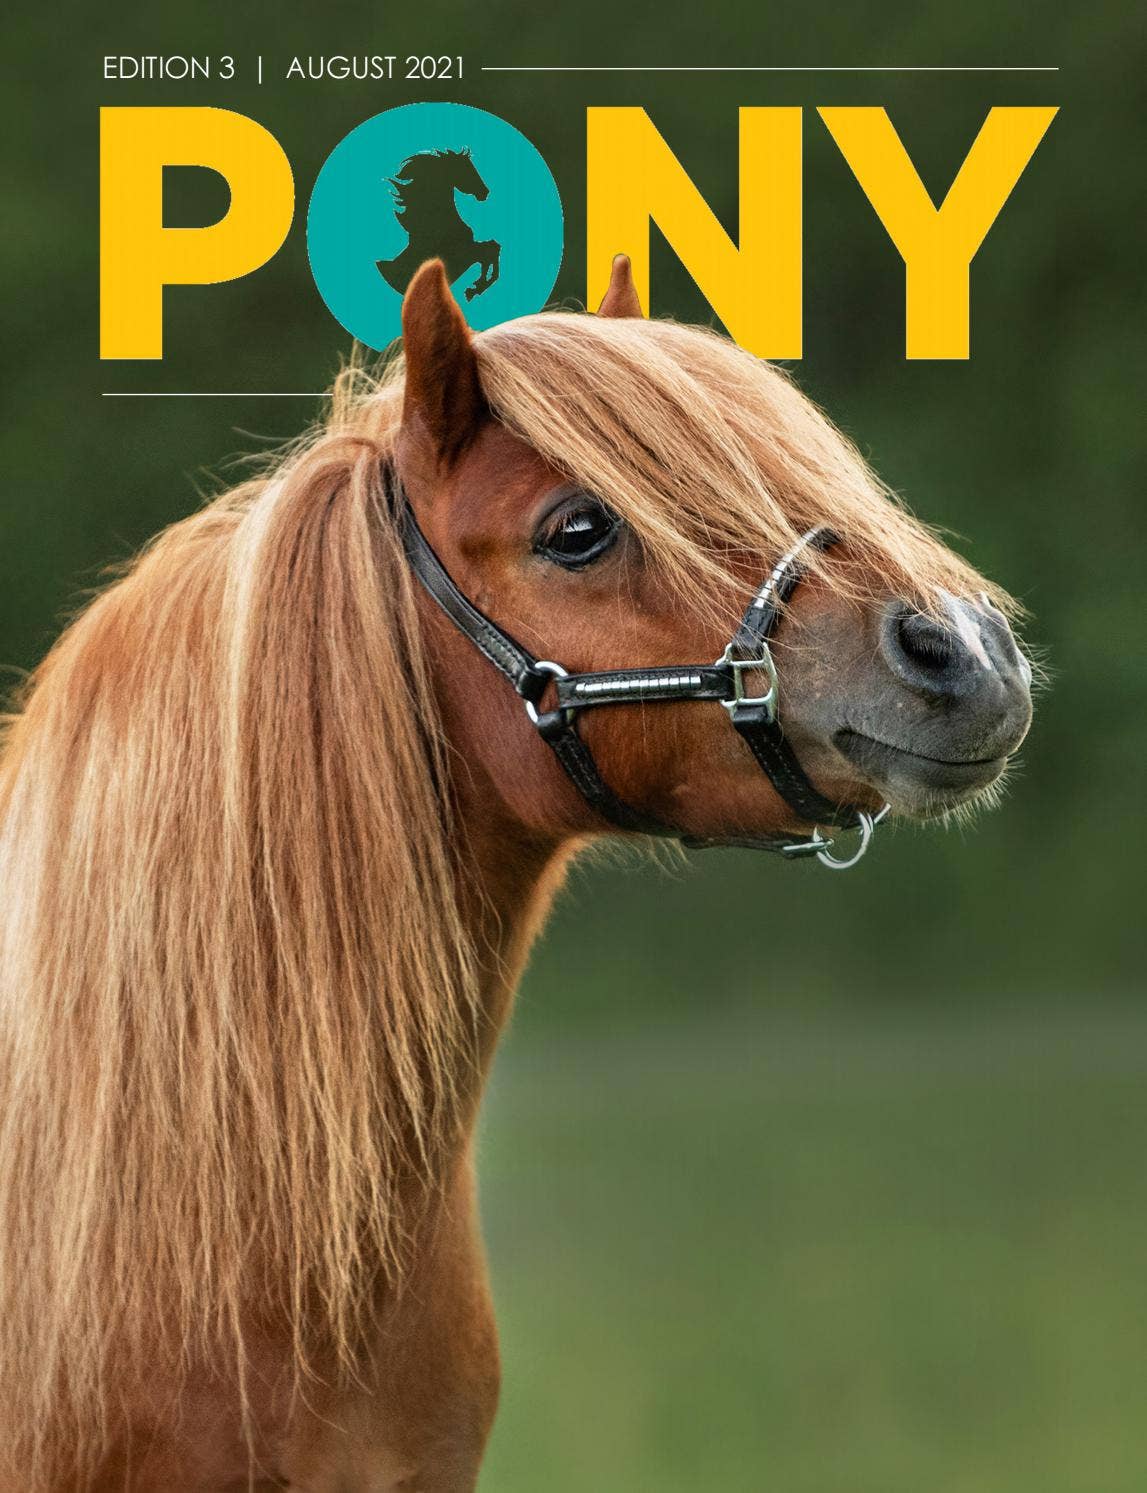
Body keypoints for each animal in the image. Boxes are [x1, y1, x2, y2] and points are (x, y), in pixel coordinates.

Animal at [377, 150, 500, 302]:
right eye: (466, 169)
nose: (485, 192)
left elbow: (493, 247)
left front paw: (476, 286)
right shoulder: (464, 253)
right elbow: (489, 251)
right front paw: (475, 288)